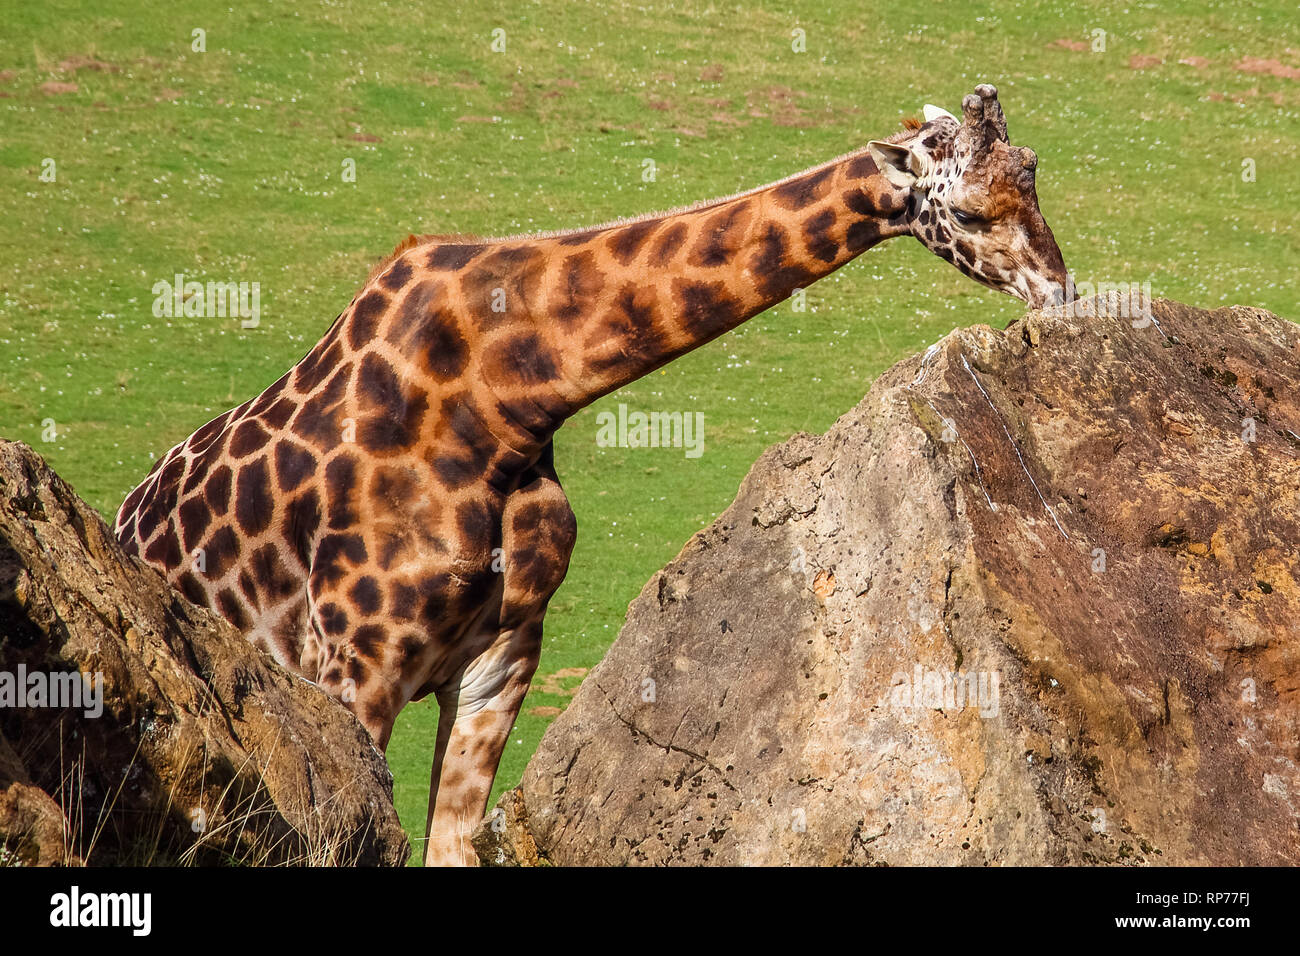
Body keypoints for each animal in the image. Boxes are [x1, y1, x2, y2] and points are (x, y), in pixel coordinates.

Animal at [114, 85, 1068, 866]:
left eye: (1032, 173)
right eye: (970, 214)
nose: (1058, 292)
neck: (504, 403)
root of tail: (123, 518)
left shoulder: (502, 658)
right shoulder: (356, 664)